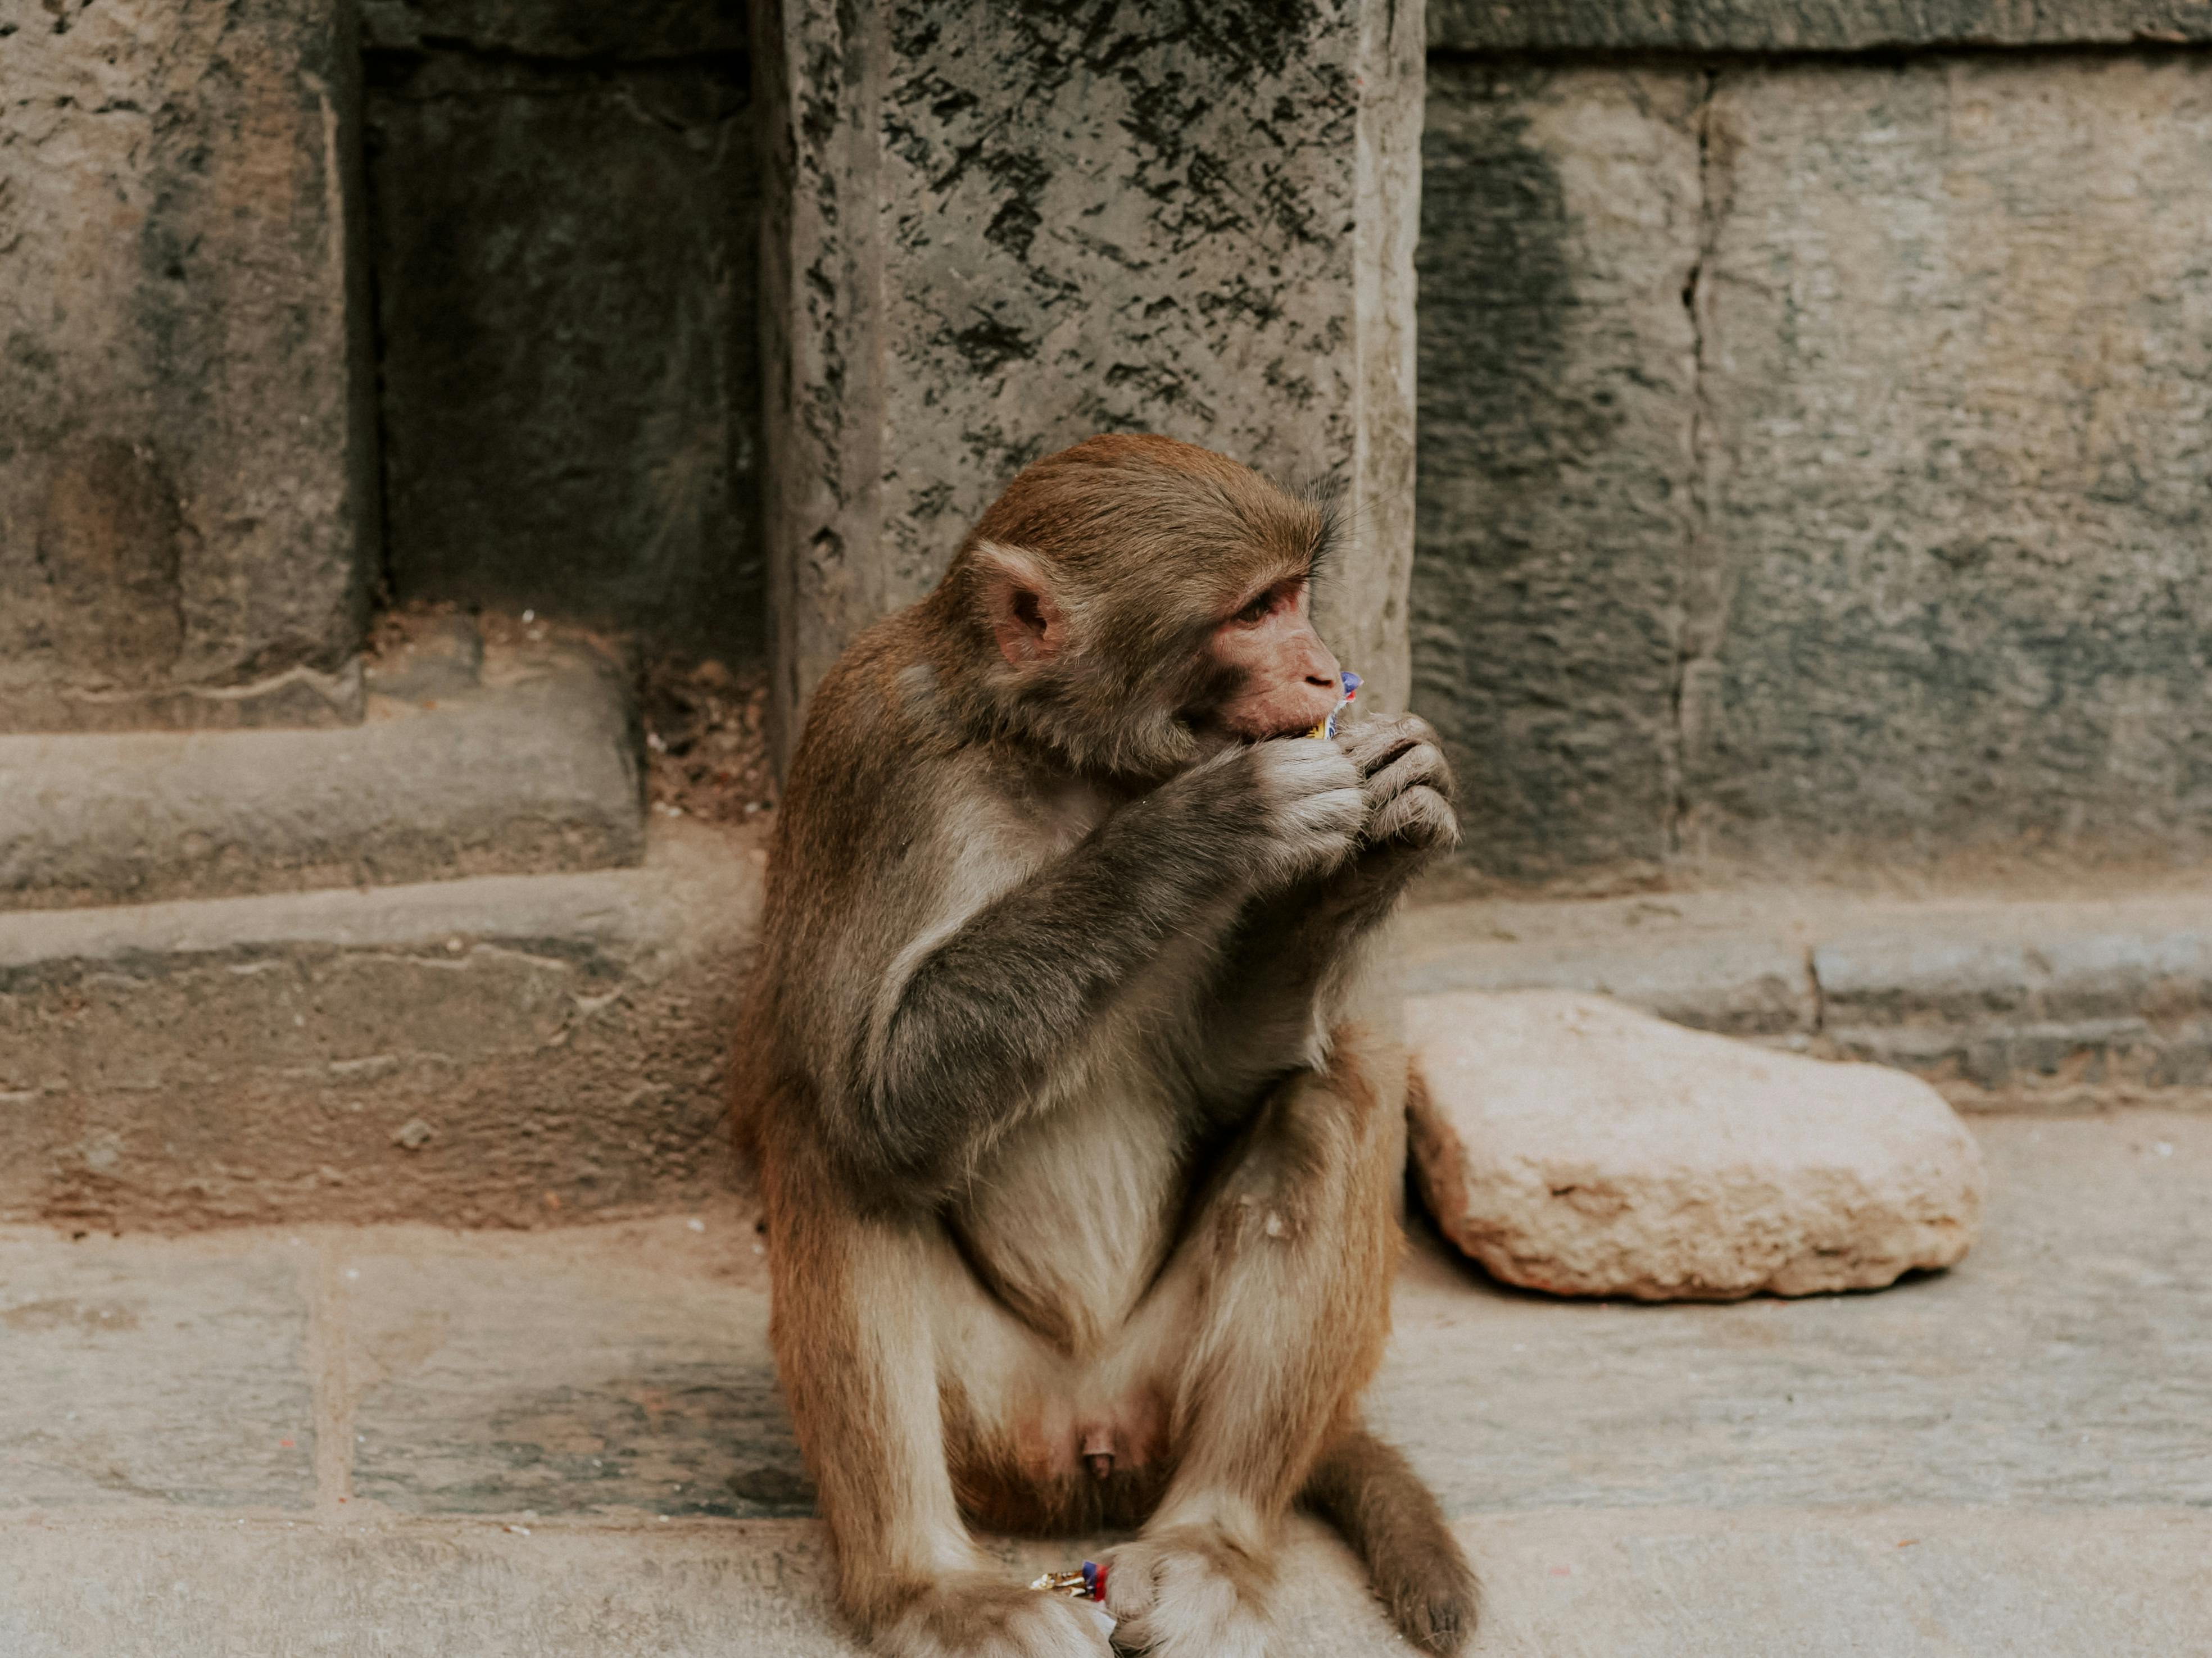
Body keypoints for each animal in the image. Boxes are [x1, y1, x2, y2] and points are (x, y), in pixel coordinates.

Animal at [737, 434, 1476, 1658]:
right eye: (1253, 611)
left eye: (1294, 594)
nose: (1326, 672)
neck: (1056, 751)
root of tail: (1083, 1450)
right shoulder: (869, 751)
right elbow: (876, 1098)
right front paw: (1210, 824)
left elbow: (1232, 1072)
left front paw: (1386, 823)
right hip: (991, 1414)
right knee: (828, 1141)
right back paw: (927, 1582)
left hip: (1161, 1392)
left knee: (1334, 1092)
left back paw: (1214, 1540)